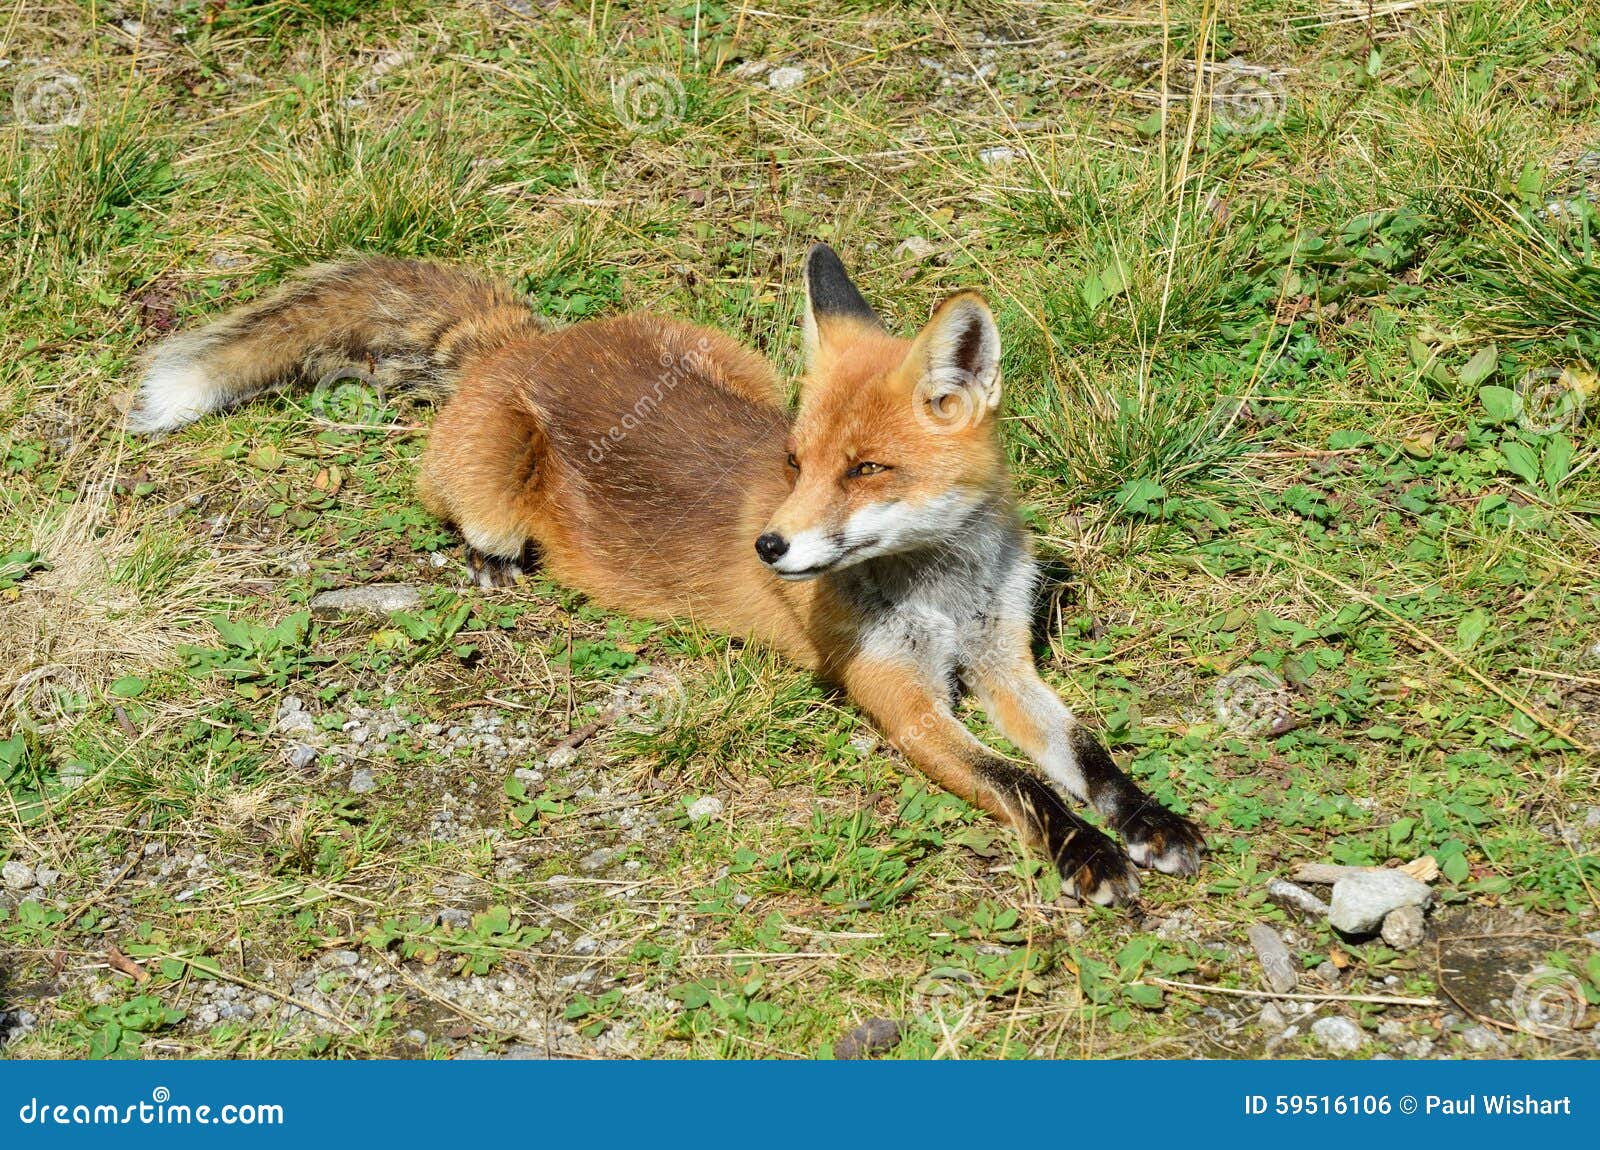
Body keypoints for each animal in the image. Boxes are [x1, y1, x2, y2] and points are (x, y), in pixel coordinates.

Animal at [127, 245, 1205, 906]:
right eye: (794, 461)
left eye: (865, 469)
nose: (769, 548)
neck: (941, 586)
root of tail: (526, 340)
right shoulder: (898, 696)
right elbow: (1024, 784)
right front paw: (1087, 853)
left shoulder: (1003, 661)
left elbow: (1087, 755)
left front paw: (1149, 821)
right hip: (492, 492)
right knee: (472, 521)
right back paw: (486, 565)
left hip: (735, 362)